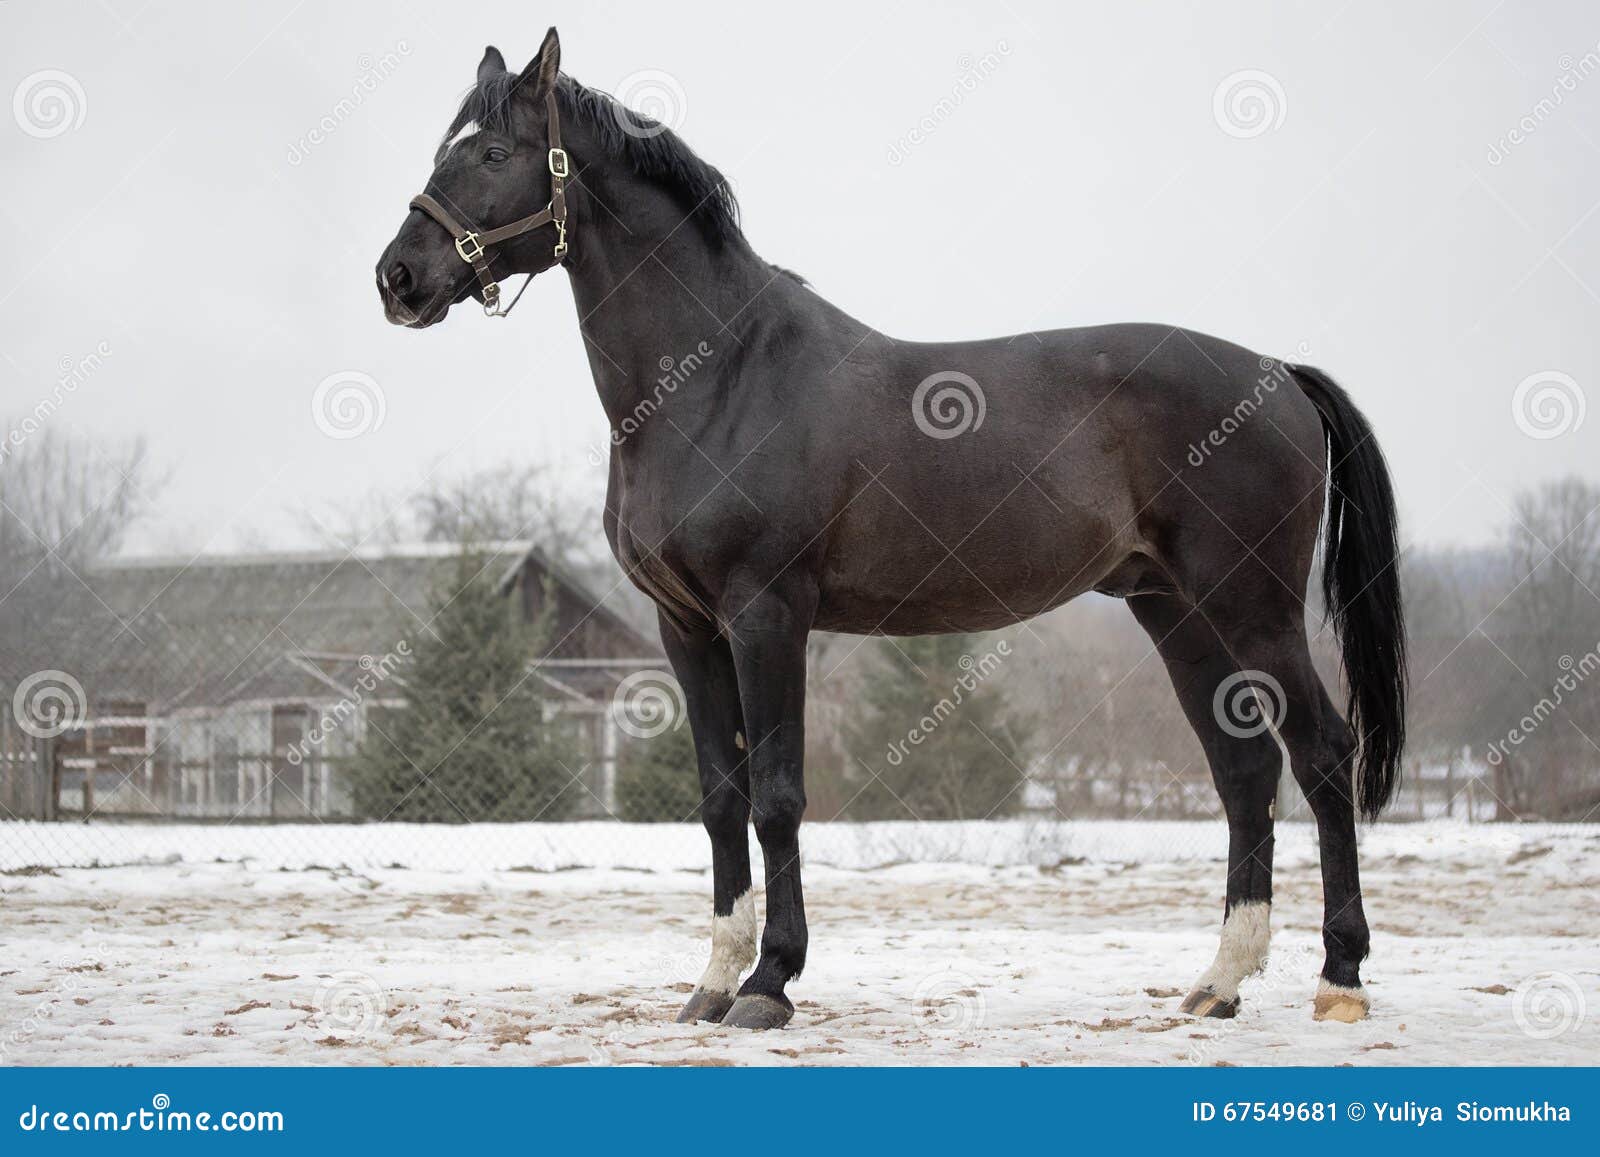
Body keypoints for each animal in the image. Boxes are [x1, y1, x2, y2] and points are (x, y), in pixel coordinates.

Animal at [376, 27, 1406, 1031]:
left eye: (495, 153)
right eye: (442, 151)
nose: (398, 277)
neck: (719, 378)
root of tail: (1278, 374)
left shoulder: (767, 614)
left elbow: (778, 796)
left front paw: (770, 981)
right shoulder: (687, 628)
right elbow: (720, 798)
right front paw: (711, 982)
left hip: (1251, 607)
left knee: (1322, 756)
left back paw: (1340, 977)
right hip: (1174, 609)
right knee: (1243, 772)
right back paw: (1219, 983)